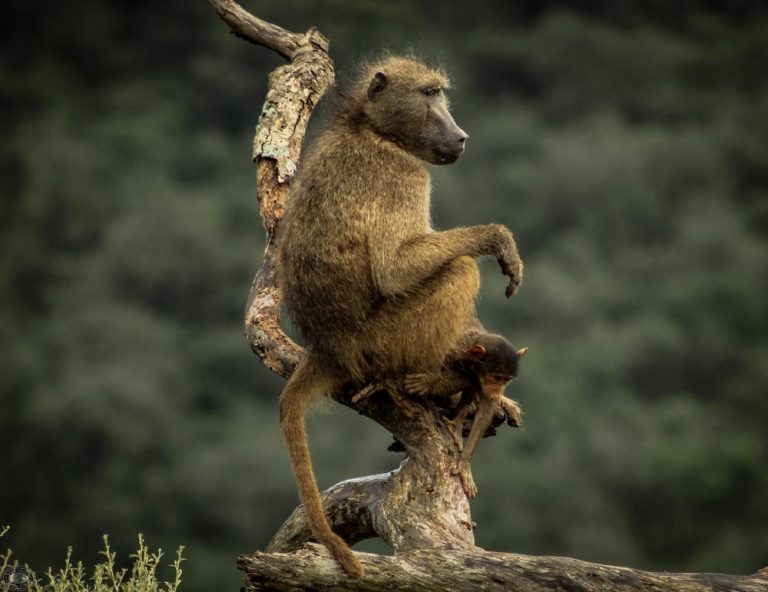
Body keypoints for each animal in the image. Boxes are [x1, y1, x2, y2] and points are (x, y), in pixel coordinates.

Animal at [404, 333, 527, 498]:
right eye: (496, 377)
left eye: (506, 380)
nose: (497, 392)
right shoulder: (452, 352)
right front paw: (430, 381)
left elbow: (485, 411)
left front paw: (464, 465)